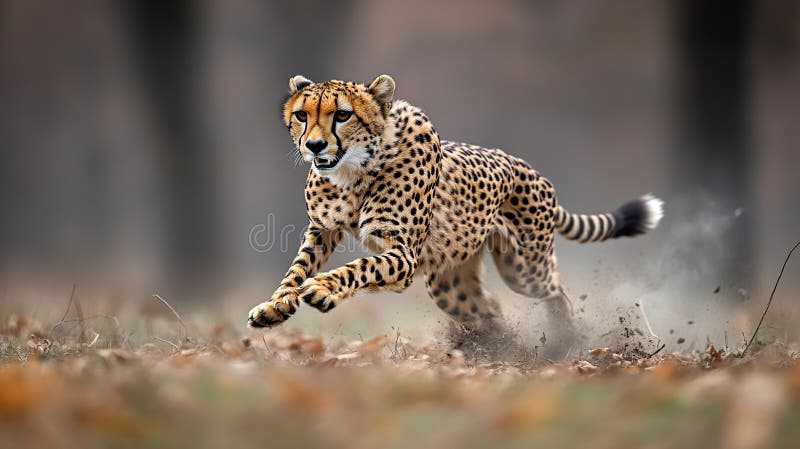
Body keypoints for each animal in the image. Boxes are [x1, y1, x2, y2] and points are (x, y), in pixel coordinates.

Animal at [247, 74, 664, 338]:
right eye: (302, 115)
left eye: (343, 115)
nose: (314, 146)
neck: (354, 172)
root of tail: (528, 167)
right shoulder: (322, 229)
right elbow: (297, 268)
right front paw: (275, 306)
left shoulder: (403, 255)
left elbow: (360, 267)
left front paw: (323, 288)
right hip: (450, 284)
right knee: (489, 308)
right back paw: (500, 348)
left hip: (525, 268)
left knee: (556, 286)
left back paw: (564, 336)